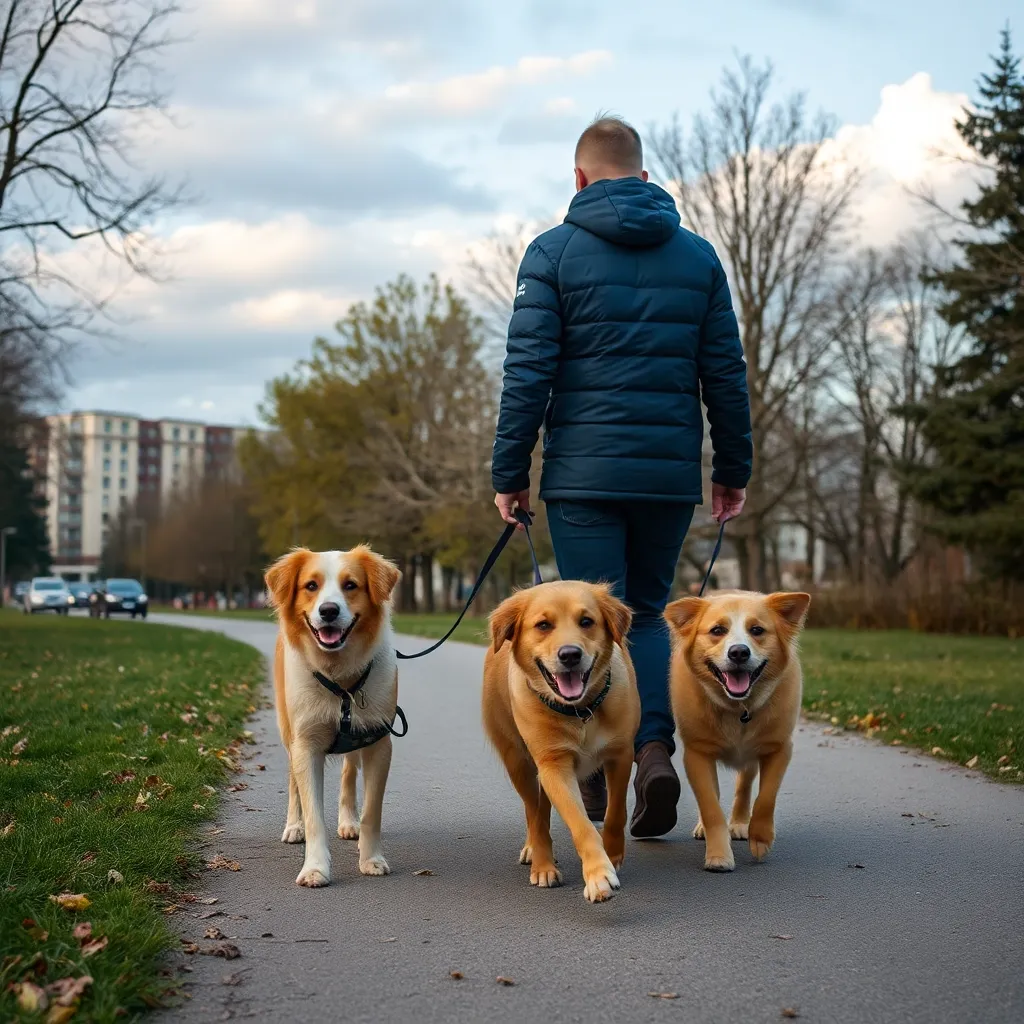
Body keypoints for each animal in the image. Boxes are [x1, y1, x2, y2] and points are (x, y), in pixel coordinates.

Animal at [264, 544, 399, 888]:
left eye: (350, 585)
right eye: (311, 586)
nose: (328, 611)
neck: (339, 678)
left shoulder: (379, 741)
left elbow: (372, 811)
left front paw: (371, 858)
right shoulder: (306, 744)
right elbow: (313, 813)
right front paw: (315, 868)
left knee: (349, 772)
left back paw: (348, 821)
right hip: (288, 733)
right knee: (293, 785)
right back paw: (293, 827)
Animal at [481, 585, 638, 905]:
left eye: (587, 621)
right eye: (543, 625)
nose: (570, 655)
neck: (580, 711)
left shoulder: (621, 754)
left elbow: (615, 811)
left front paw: (612, 853)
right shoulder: (554, 766)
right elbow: (580, 824)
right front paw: (598, 875)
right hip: (517, 762)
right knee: (534, 813)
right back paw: (541, 861)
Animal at [667, 593, 811, 872]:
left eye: (757, 630)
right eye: (717, 631)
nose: (739, 652)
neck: (739, 707)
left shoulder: (779, 748)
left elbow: (766, 798)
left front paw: (760, 838)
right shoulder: (697, 754)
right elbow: (710, 806)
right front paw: (719, 855)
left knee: (744, 784)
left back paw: (741, 822)